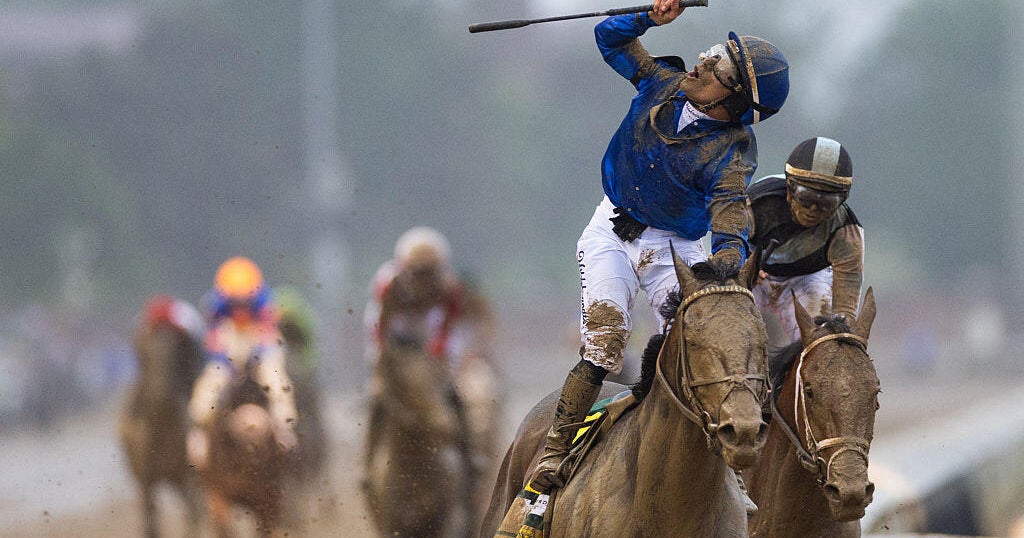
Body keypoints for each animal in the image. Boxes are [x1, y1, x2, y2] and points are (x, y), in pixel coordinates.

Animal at [118, 296, 206, 538]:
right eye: (146, 348)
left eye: (177, 346)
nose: (161, 389)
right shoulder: (145, 475)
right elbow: (150, 524)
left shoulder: (188, 470)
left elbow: (194, 513)